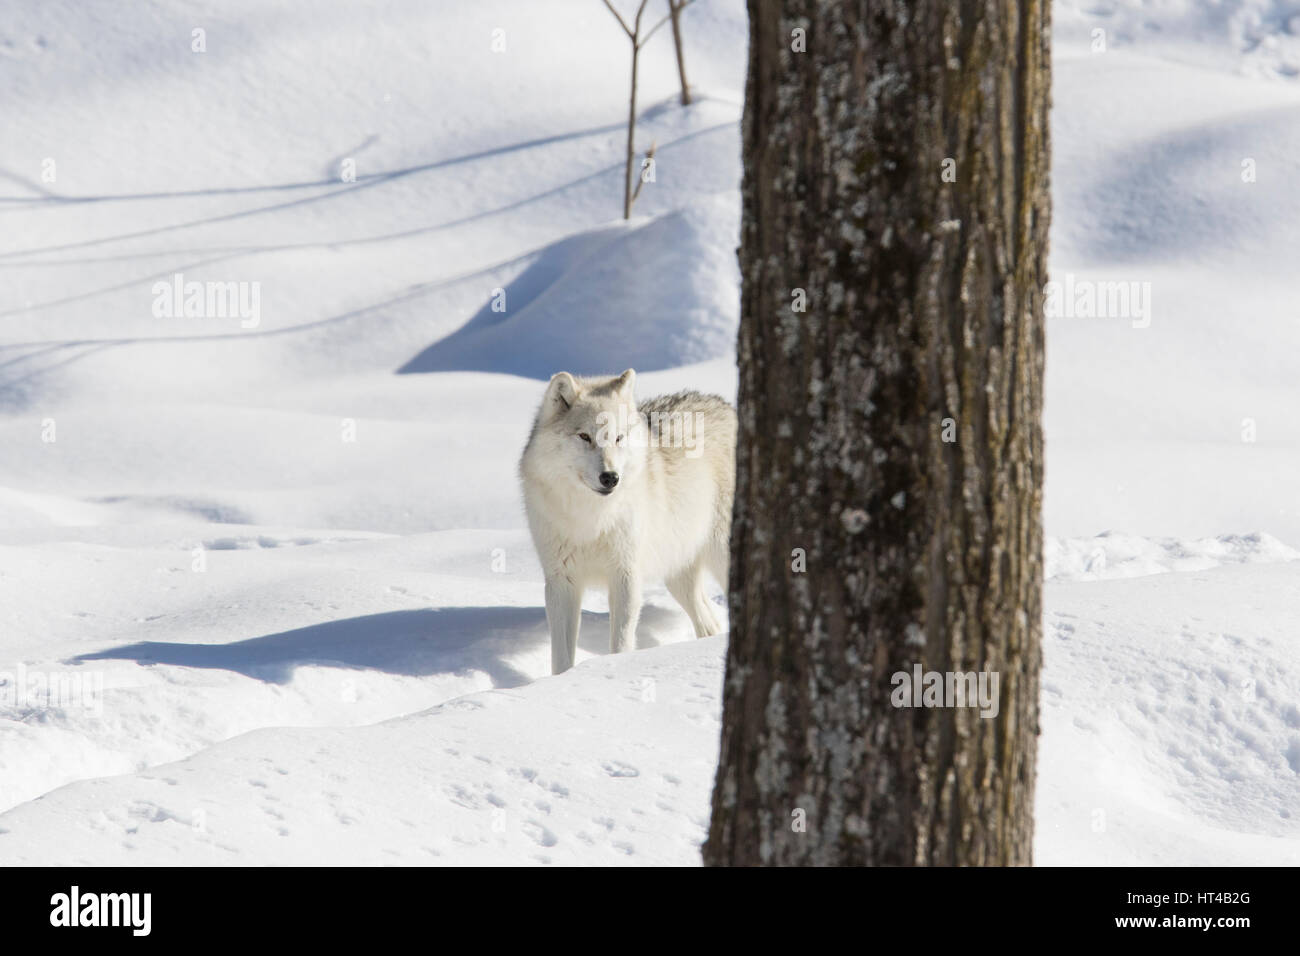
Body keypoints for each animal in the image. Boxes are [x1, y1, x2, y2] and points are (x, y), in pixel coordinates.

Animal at [519, 369, 736, 674]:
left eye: (618, 438)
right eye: (584, 436)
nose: (610, 477)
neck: (591, 518)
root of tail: (727, 405)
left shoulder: (625, 576)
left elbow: (621, 642)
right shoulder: (561, 582)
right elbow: (561, 656)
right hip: (678, 576)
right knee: (710, 623)